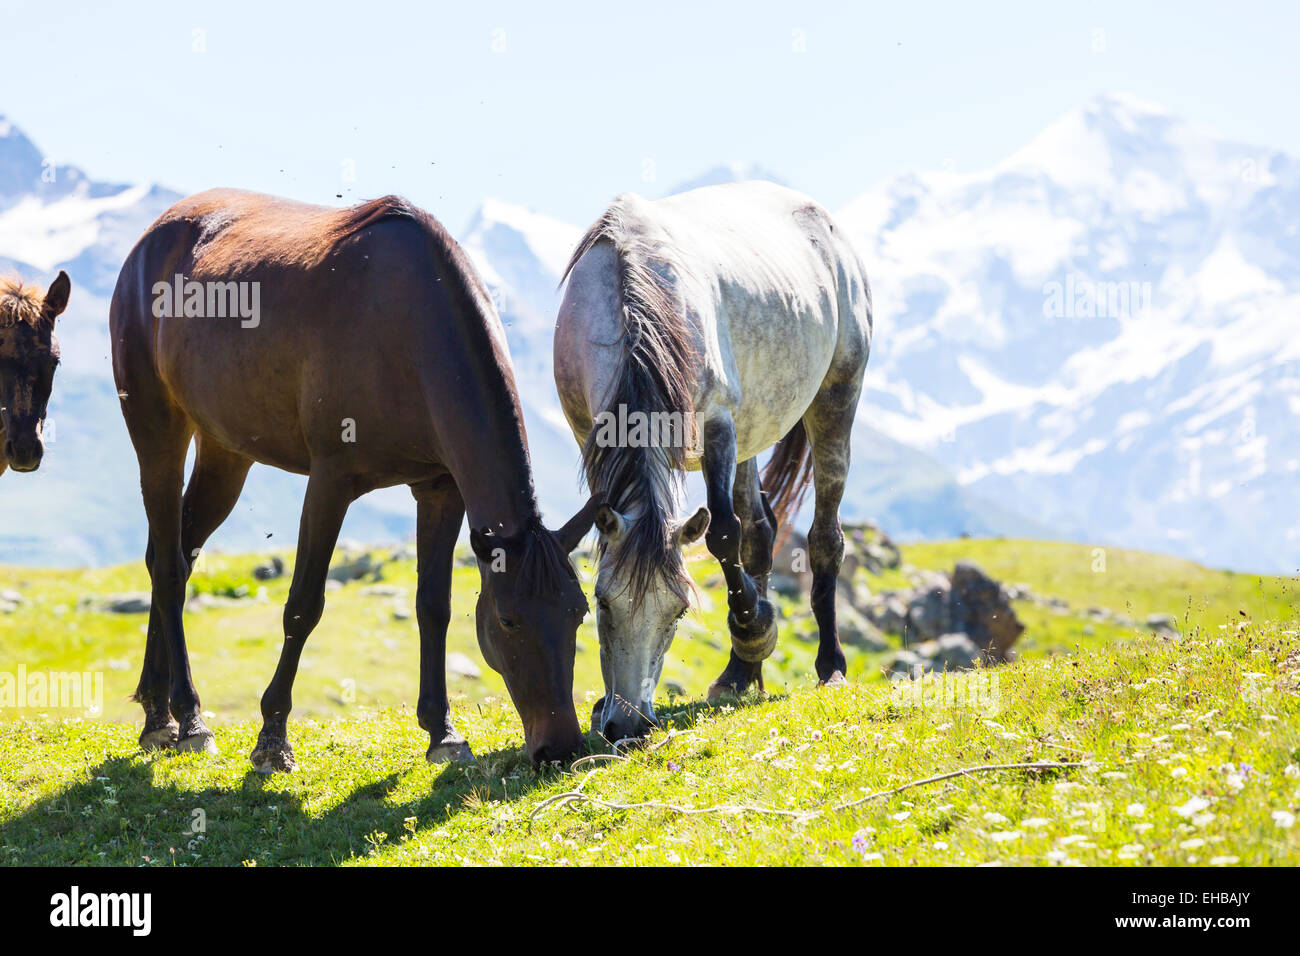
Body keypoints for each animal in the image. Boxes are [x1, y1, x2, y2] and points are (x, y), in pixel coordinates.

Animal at [111, 189, 598, 770]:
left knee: (176, 557)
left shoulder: (440, 489)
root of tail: (150, 240)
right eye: (507, 620)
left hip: (226, 455)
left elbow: (433, 606)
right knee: (166, 566)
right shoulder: (331, 483)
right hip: (157, 431)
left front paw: (442, 730)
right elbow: (303, 606)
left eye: (578, 614)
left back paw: (156, 712)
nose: (561, 748)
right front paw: (272, 738)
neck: (411, 329)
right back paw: (188, 719)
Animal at [554, 181, 871, 741]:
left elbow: (723, 533)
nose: (628, 726)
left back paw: (829, 666)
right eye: (603, 603)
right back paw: (741, 676)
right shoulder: (586, 434)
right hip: (751, 434)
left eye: (679, 612)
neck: (628, 306)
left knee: (823, 537)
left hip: (835, 400)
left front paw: (757, 630)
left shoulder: (718, 425)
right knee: (761, 530)